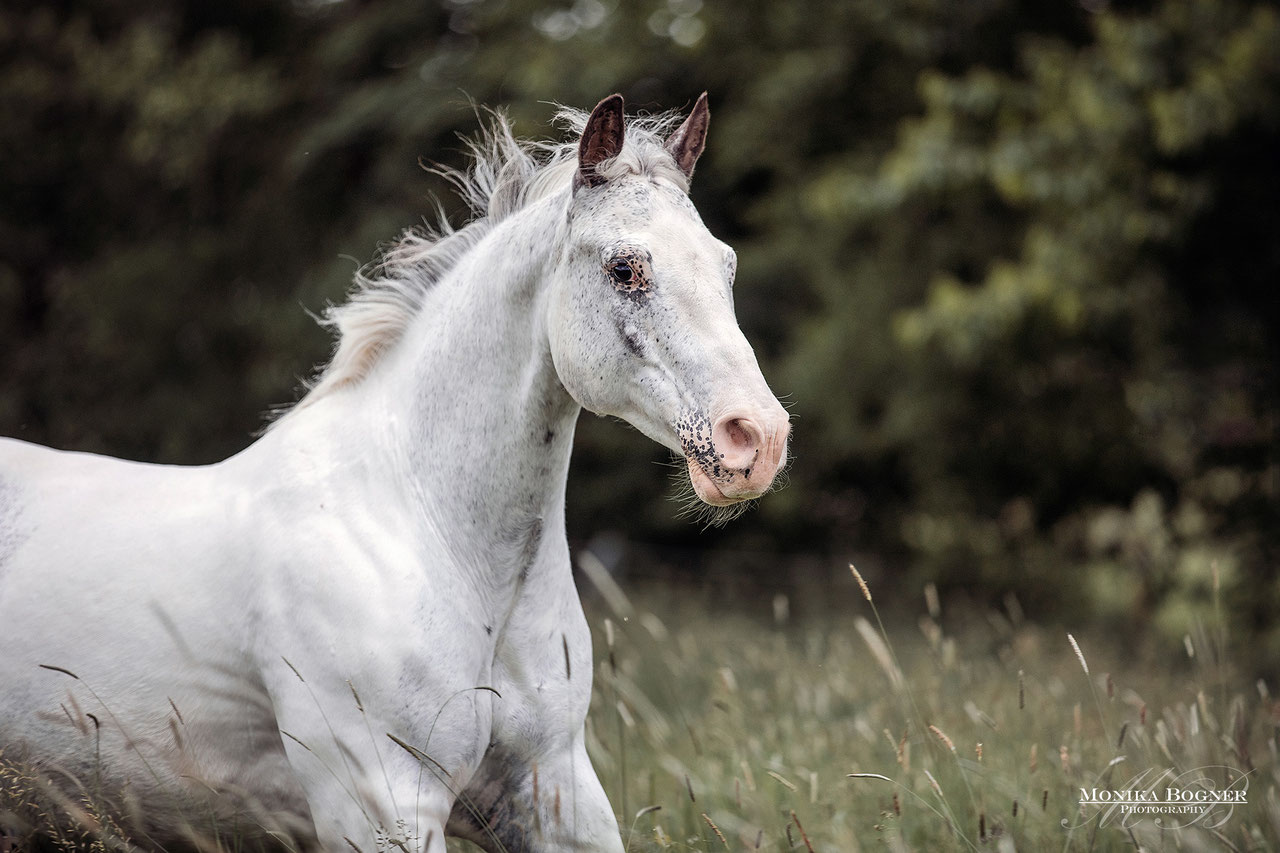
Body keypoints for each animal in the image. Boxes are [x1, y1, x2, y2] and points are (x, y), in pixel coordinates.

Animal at [0, 93, 790, 852]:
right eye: (624, 268)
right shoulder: (383, 807)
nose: (758, 439)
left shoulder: (558, 795)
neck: (431, 534)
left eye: (726, 265)